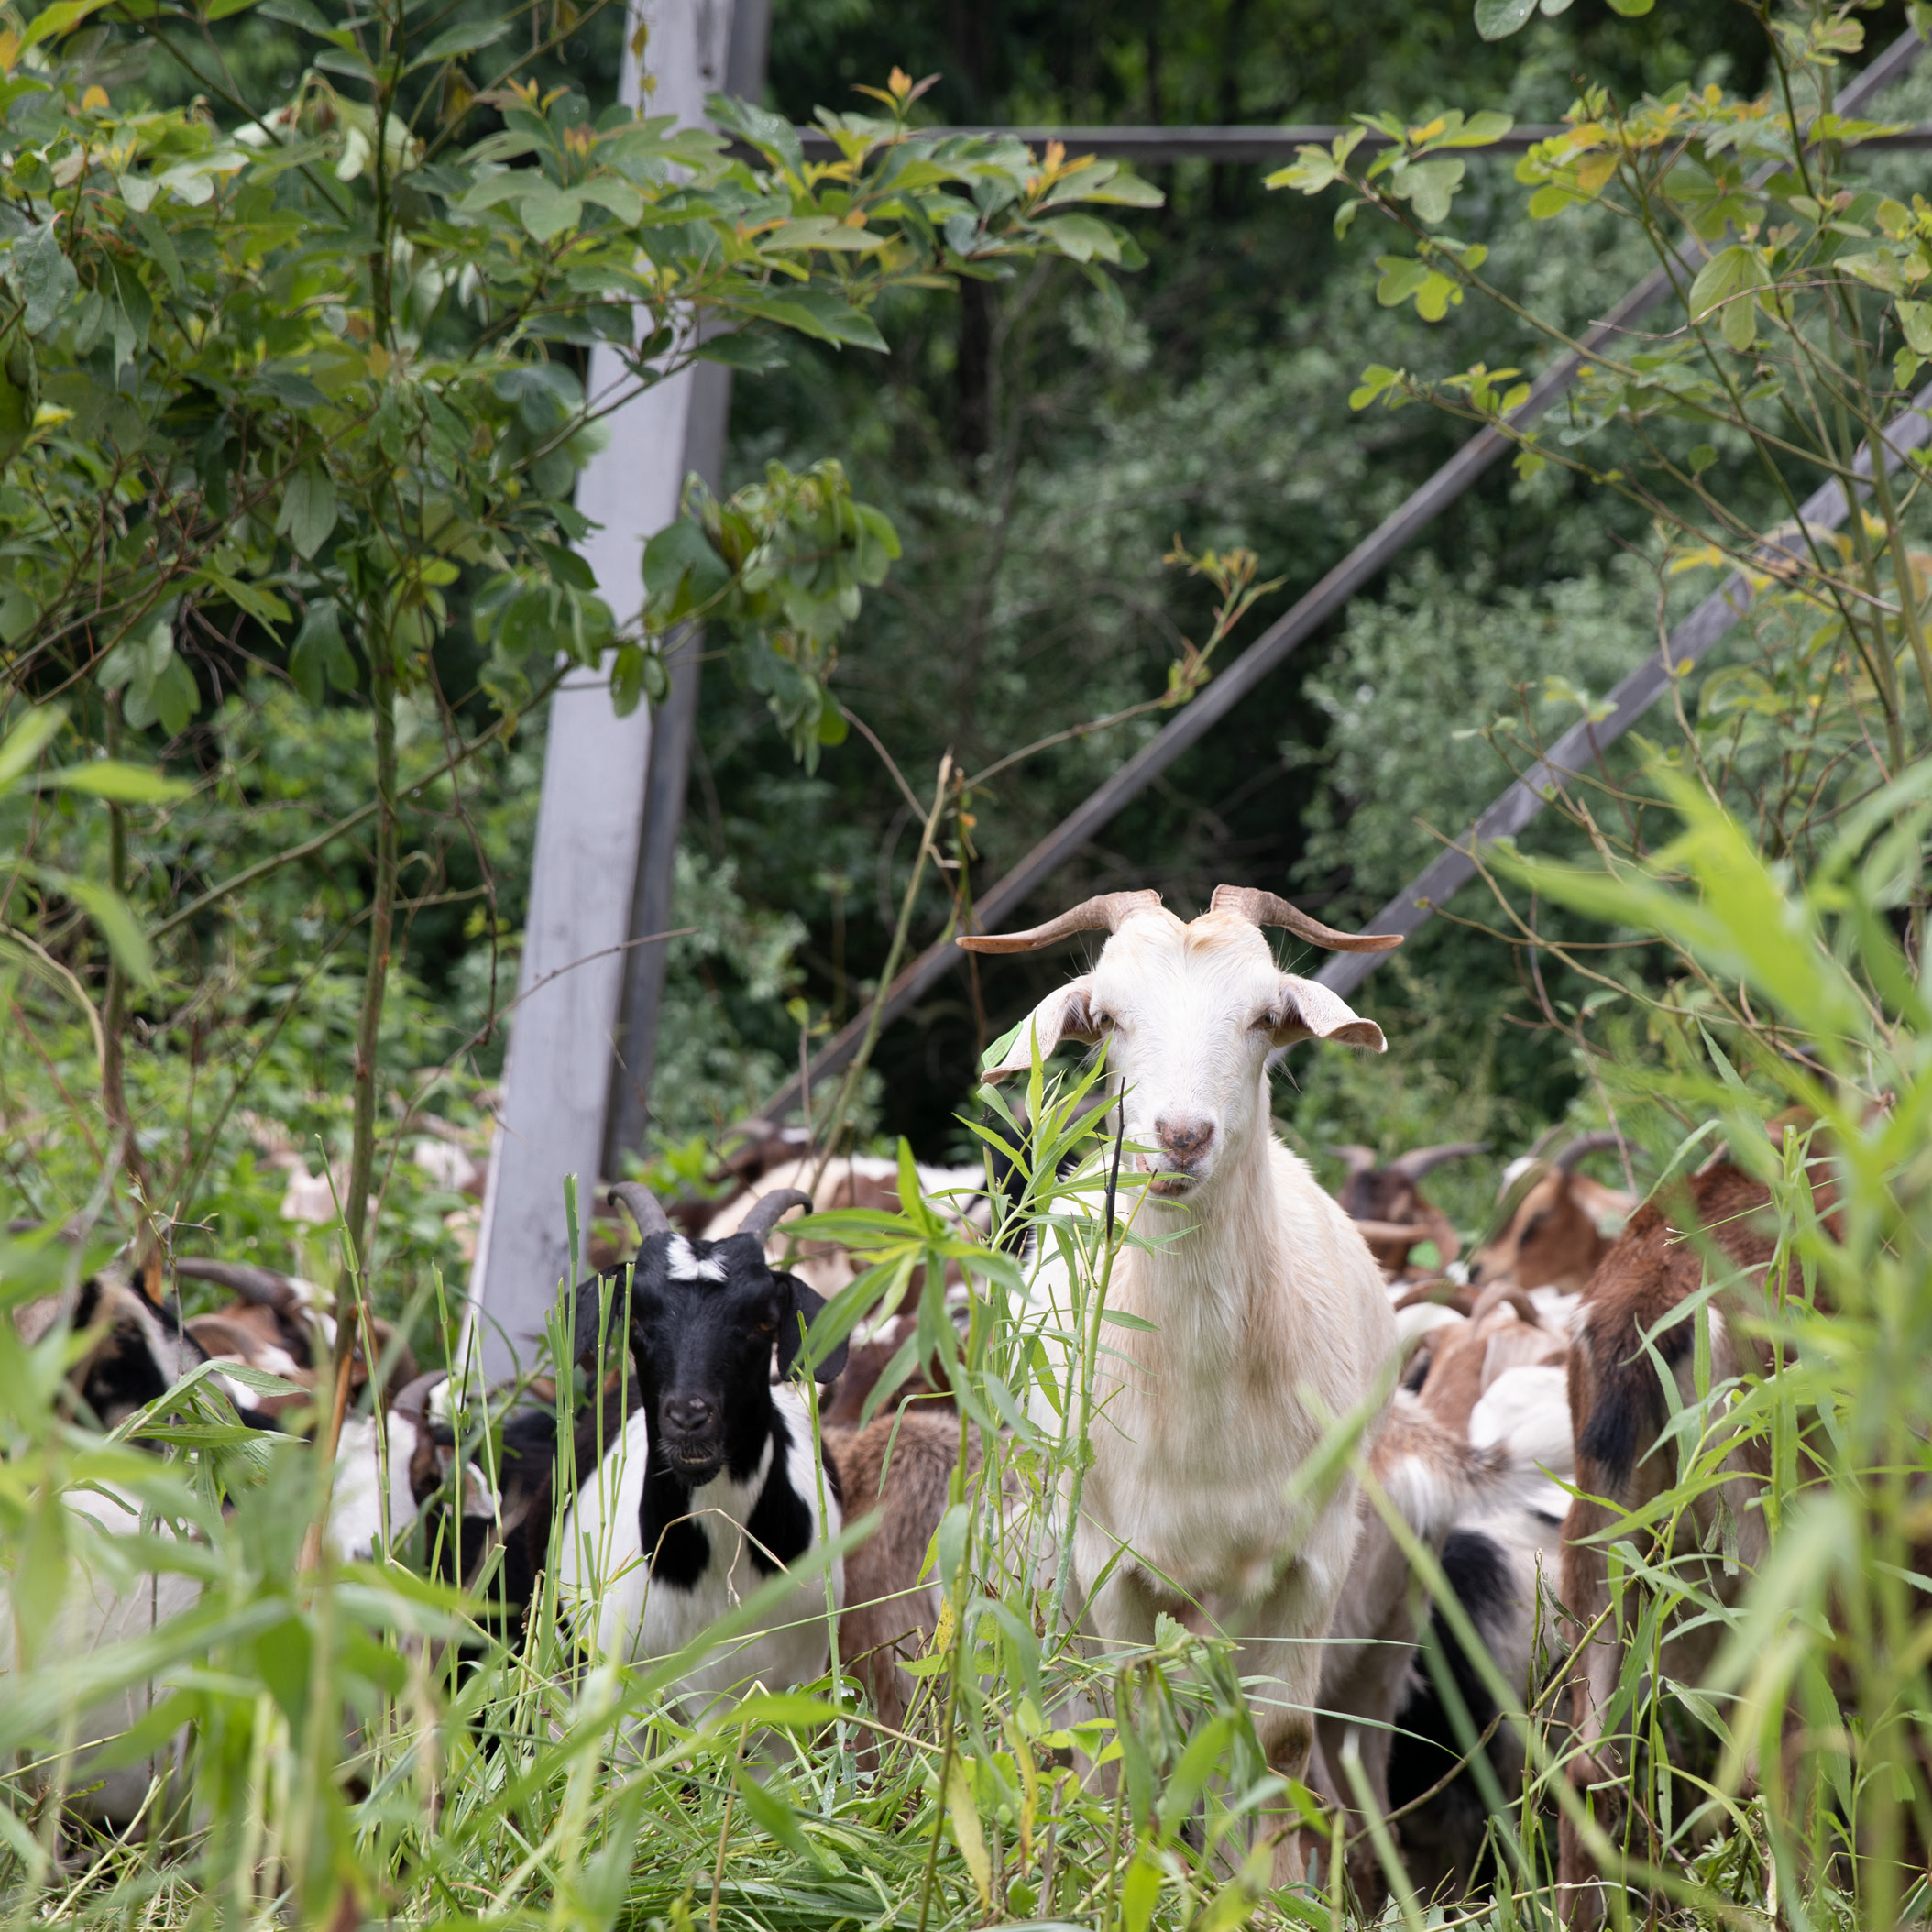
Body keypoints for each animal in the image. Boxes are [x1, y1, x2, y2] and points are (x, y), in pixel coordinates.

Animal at [960, 883, 1402, 1883]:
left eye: (1264, 1017)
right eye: (1108, 1017)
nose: (1181, 1136)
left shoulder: (1314, 1556)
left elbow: (1273, 1743)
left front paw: (1269, 1895)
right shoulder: (1111, 1566)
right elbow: (1129, 1734)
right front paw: (1128, 1873)